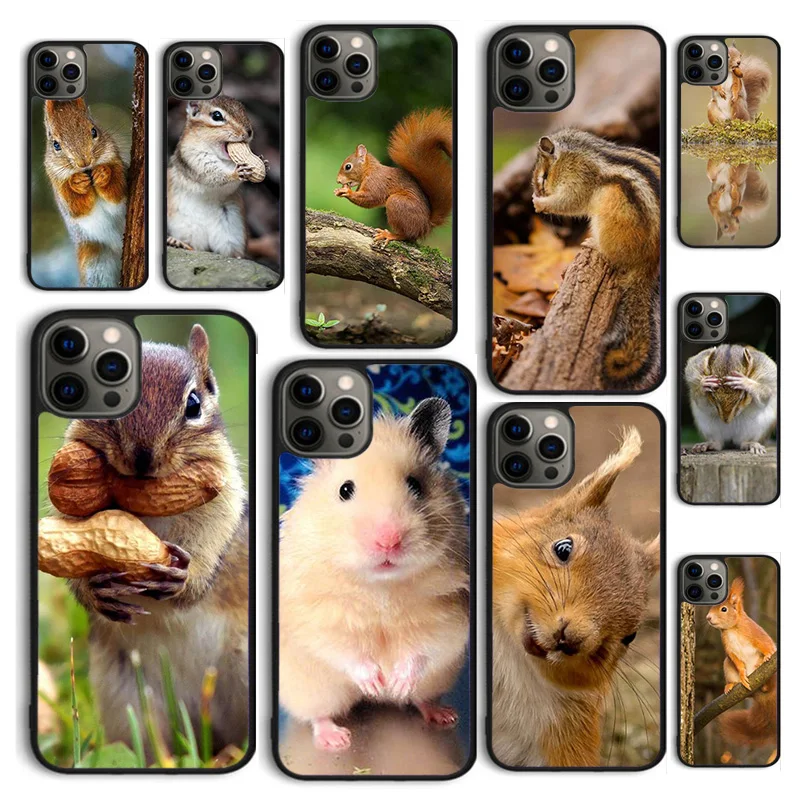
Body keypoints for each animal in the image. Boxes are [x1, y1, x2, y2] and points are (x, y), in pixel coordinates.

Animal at [279, 397, 469, 752]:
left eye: (415, 485)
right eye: (345, 490)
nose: (388, 540)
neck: (382, 588)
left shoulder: (450, 615)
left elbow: (425, 647)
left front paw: (395, 681)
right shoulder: (316, 616)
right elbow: (341, 649)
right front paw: (376, 681)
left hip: (436, 679)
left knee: (422, 698)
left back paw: (440, 714)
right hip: (312, 690)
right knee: (318, 714)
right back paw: (336, 738)